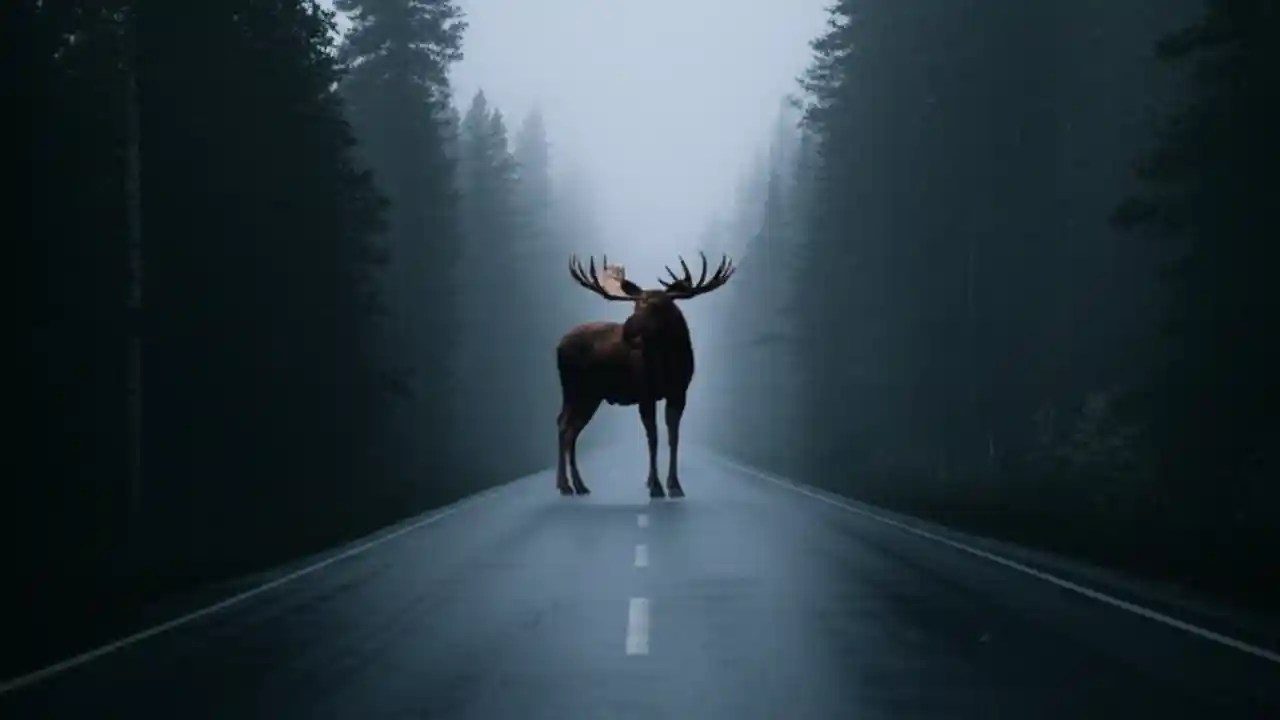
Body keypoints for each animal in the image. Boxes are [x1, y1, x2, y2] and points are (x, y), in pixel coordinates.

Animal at [555, 252, 736, 498]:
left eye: (656, 306)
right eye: (635, 304)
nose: (627, 330)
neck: (669, 362)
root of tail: (558, 346)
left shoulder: (679, 392)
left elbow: (673, 436)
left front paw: (674, 485)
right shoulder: (645, 392)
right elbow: (654, 437)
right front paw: (656, 486)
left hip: (590, 395)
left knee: (571, 428)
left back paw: (579, 485)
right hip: (576, 388)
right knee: (565, 425)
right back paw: (565, 485)